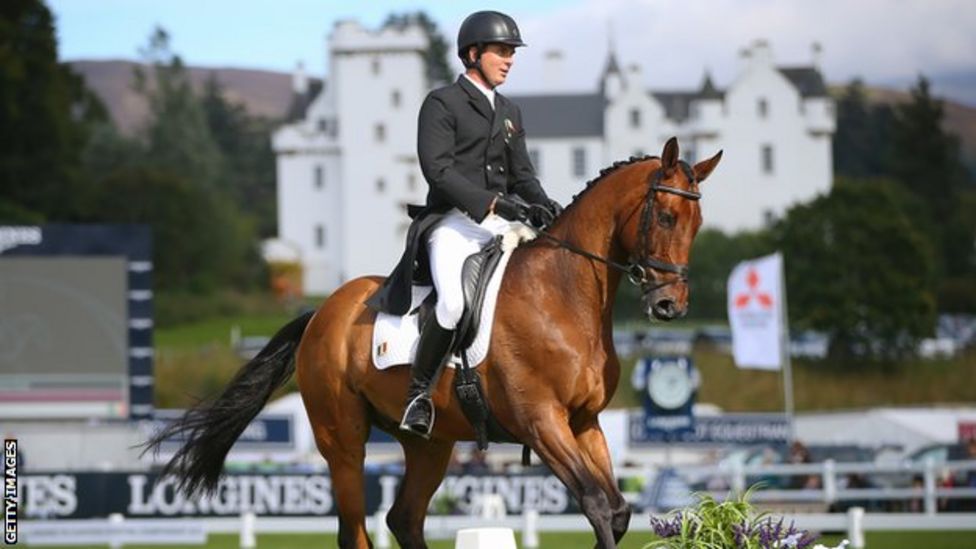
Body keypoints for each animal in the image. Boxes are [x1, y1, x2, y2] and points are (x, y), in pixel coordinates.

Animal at [145, 137, 722, 549]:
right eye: (665, 216)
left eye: (697, 224)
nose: (670, 306)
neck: (563, 294)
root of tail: (322, 313)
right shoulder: (541, 421)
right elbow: (598, 505)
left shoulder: (584, 422)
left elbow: (617, 510)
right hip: (342, 441)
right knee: (356, 531)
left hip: (430, 443)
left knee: (403, 519)